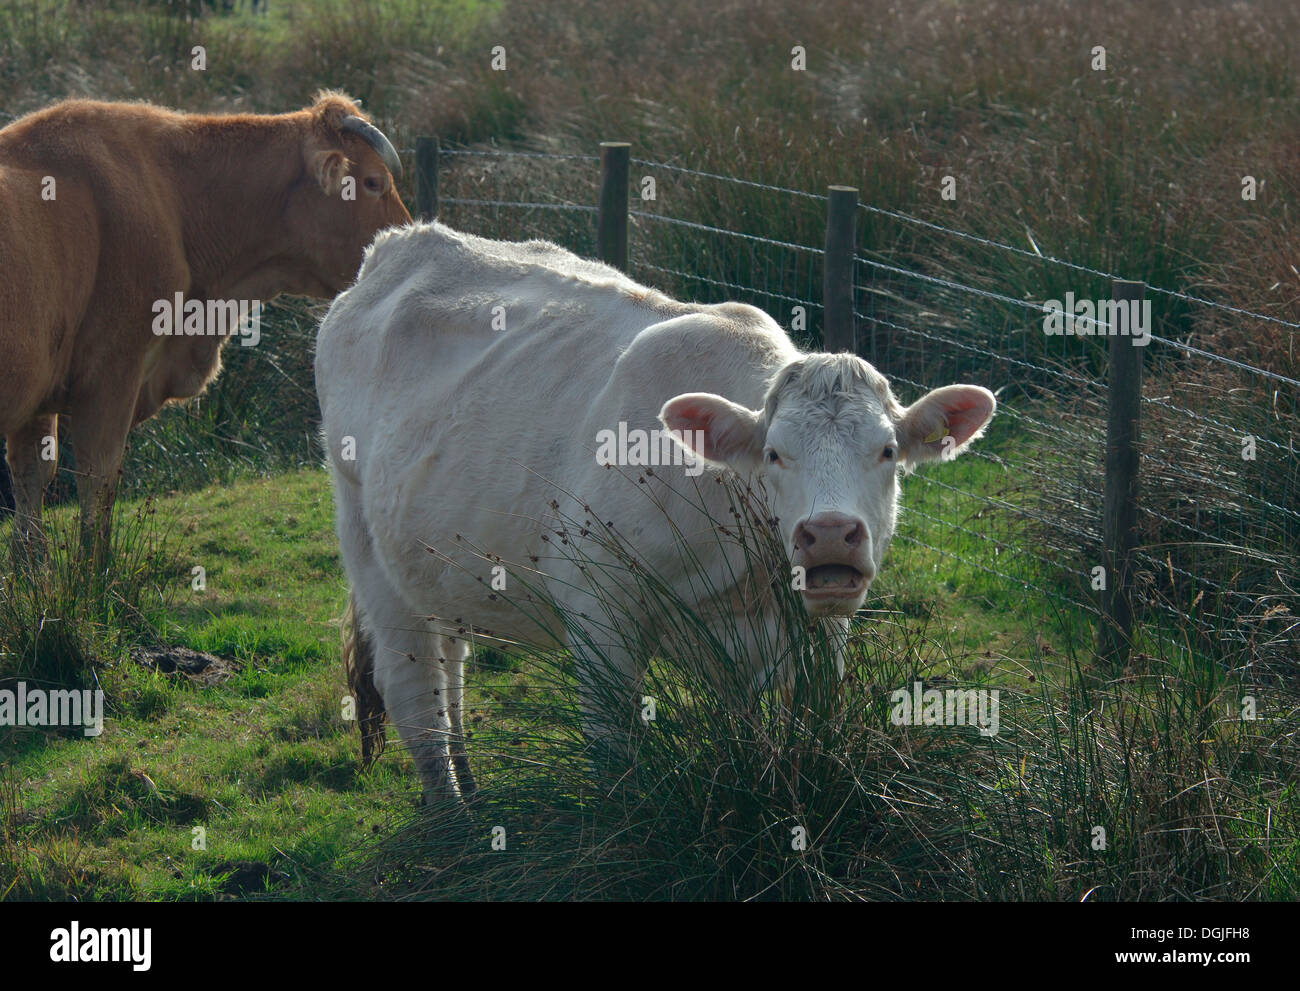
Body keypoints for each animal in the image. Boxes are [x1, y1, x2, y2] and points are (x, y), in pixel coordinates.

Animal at [0, 91, 411, 568]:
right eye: (373, 182)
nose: (404, 241)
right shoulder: (112, 374)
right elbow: (96, 480)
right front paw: (91, 574)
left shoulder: (38, 398)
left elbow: (32, 478)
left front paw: (31, 572)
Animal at [315, 221, 997, 803]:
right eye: (774, 454)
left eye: (887, 451)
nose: (829, 534)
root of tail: (402, 241)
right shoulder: (600, 617)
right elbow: (615, 759)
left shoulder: (818, 638)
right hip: (367, 548)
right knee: (414, 689)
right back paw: (451, 817)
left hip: (432, 564)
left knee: (449, 667)